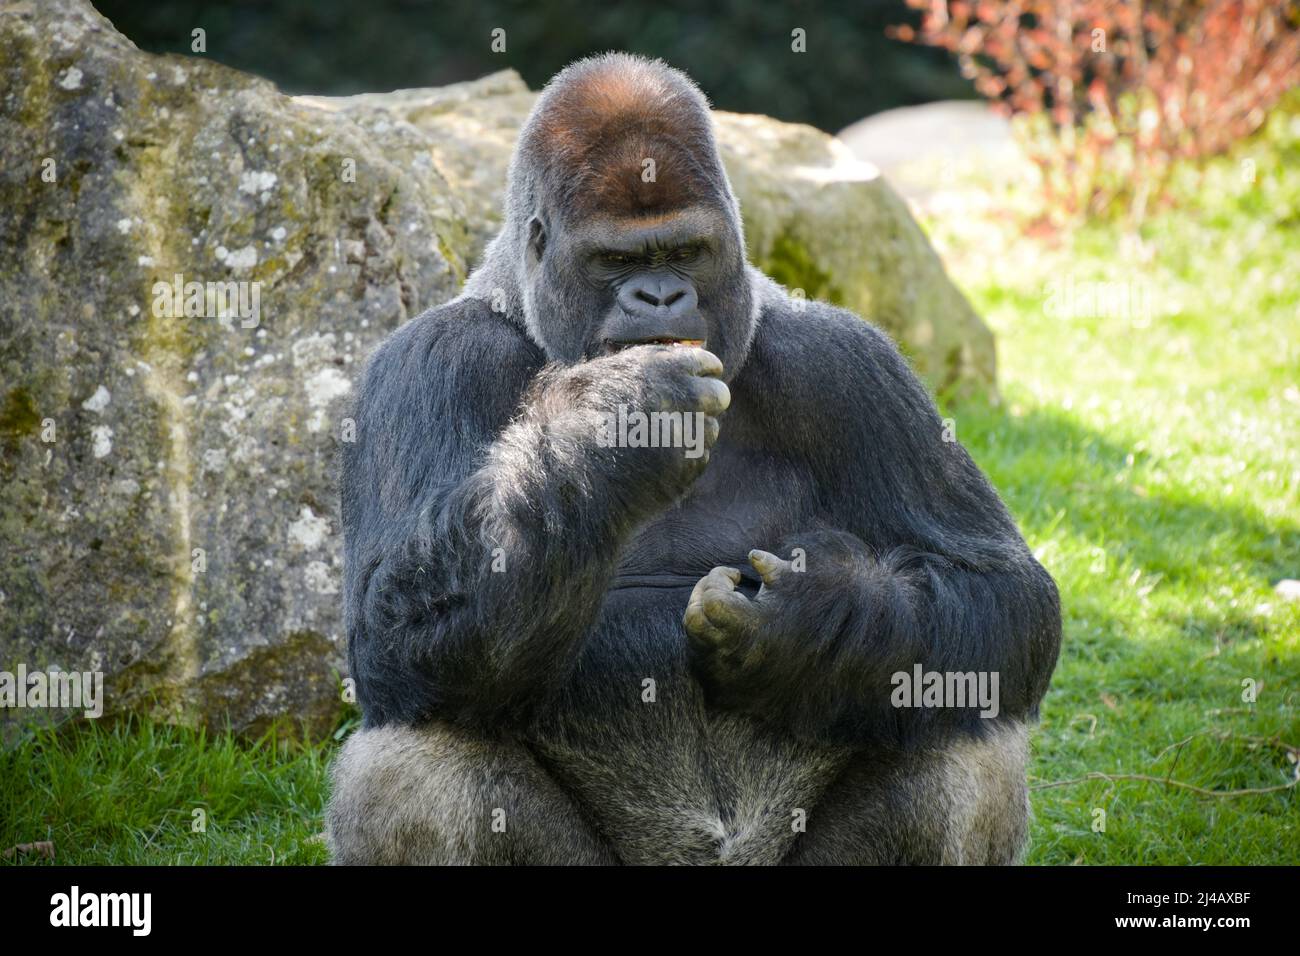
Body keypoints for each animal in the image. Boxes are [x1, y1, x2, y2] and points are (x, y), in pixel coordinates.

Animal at [326, 53, 1061, 865]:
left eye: (685, 252)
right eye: (617, 261)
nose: (659, 296)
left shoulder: (847, 361)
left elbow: (1002, 591)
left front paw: (810, 624)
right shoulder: (424, 364)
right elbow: (392, 627)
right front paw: (614, 422)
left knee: (956, 716)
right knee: (421, 750)